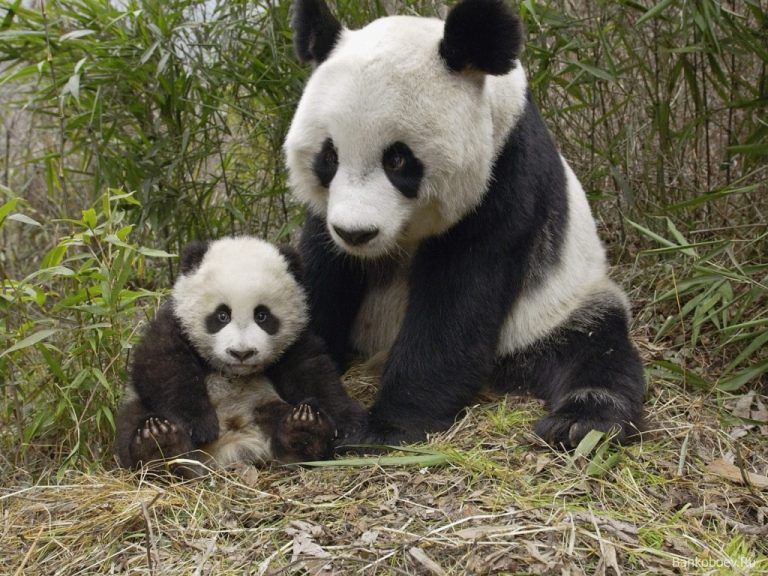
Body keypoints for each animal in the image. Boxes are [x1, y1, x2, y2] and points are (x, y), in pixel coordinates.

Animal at [115, 236, 366, 474]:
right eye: (222, 315)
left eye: (262, 315)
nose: (242, 353)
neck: (233, 373)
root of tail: (230, 448)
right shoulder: (174, 323)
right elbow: (162, 365)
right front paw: (198, 425)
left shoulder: (295, 341)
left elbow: (313, 373)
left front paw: (349, 425)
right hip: (139, 408)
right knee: (132, 421)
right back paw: (159, 446)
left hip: (263, 404)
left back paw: (304, 431)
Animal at [284, 0, 646, 449]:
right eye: (329, 157)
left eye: (397, 159)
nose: (356, 233)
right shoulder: (327, 218)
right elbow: (322, 274)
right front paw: (308, 402)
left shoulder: (505, 177)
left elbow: (458, 301)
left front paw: (383, 428)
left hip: (558, 306)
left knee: (595, 348)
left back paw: (581, 421)